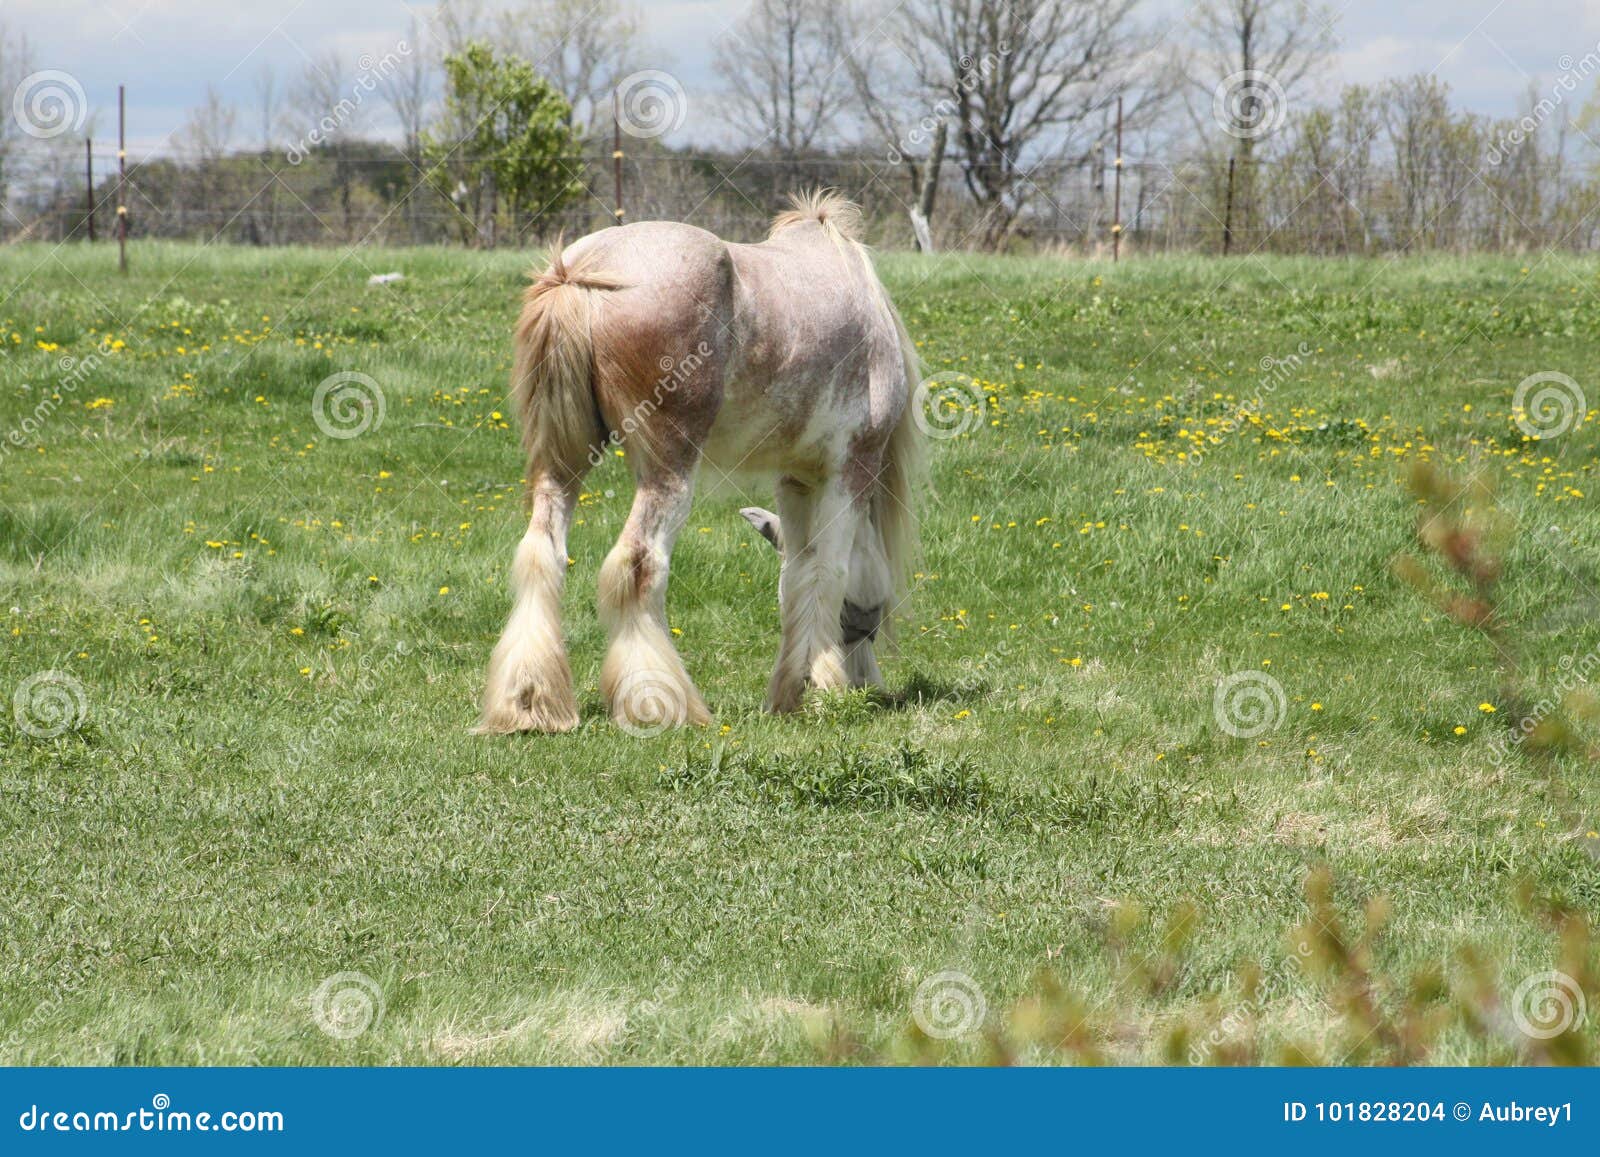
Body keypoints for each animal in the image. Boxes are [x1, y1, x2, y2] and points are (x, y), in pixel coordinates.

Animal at [477, 191, 923, 735]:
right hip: (668, 473)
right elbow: (827, 571)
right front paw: (821, 691)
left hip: (562, 467)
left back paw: (530, 703)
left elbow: (796, 575)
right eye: (865, 622)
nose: (866, 686)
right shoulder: (849, 470)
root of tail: (578, 270)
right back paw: (663, 704)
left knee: (542, 552)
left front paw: (793, 692)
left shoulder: (795, 479)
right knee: (638, 562)